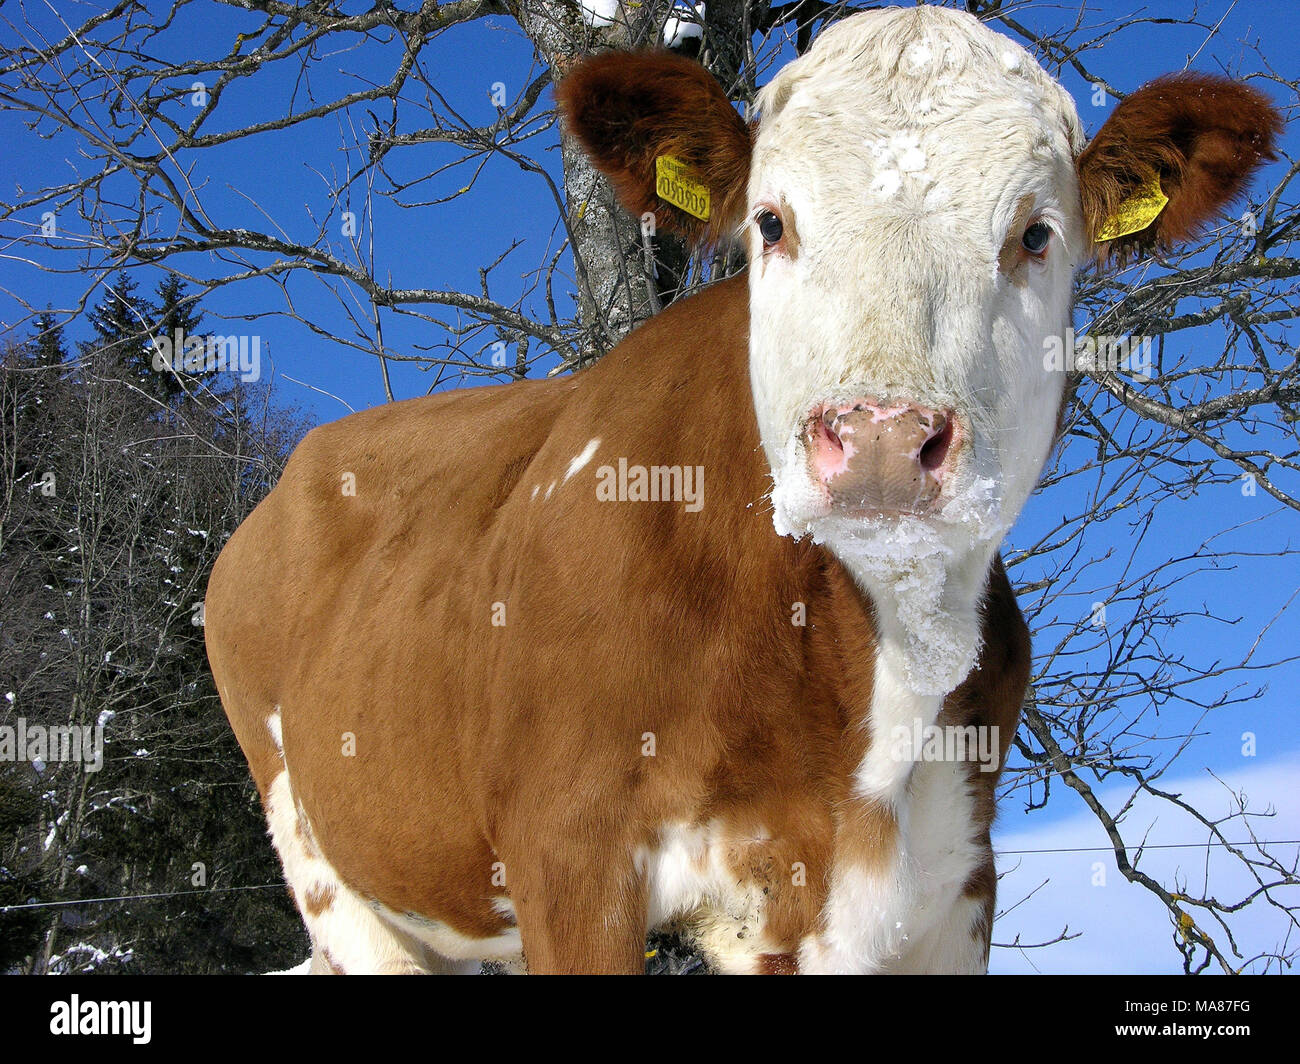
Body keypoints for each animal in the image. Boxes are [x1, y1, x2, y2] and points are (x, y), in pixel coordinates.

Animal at [204, 5, 1280, 973]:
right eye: (771, 222)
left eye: (1036, 233)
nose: (881, 436)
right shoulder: (570, 853)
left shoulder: (949, 882)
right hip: (329, 867)